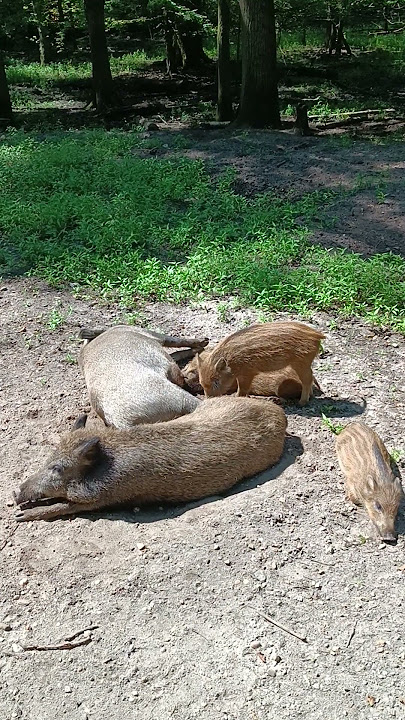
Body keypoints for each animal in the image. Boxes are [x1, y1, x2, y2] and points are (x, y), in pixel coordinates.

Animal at [14, 396, 287, 522]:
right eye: (48, 459)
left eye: (57, 468)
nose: (16, 493)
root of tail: (280, 413)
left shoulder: (106, 498)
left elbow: (61, 507)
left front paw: (20, 517)